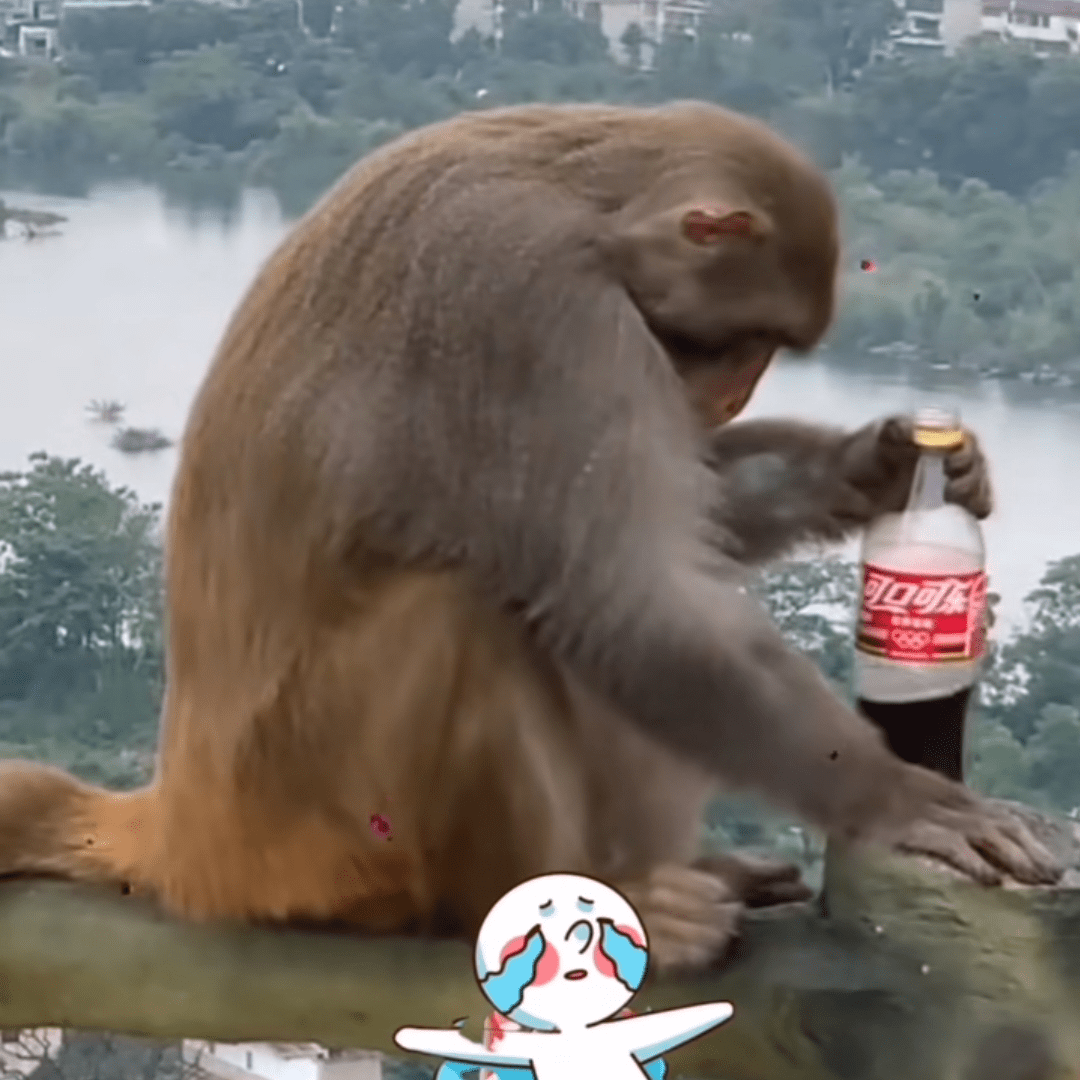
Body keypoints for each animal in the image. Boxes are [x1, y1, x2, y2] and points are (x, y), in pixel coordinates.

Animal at [0, 101, 1061, 973]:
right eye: (739, 338)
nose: (733, 391)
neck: (587, 200)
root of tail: (187, 833)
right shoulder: (539, 305)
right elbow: (628, 594)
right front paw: (896, 797)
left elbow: (676, 528)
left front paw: (885, 465)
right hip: (317, 834)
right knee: (474, 612)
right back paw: (561, 901)